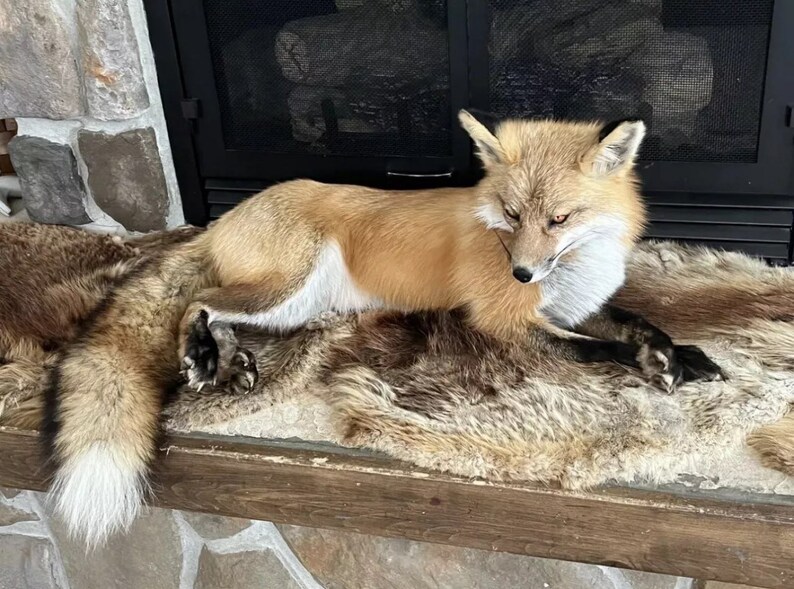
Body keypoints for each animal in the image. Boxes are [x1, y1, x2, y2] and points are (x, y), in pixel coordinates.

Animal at [47, 110, 722, 546]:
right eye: (510, 216)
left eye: (558, 219)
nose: (523, 272)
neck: (571, 270)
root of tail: (224, 218)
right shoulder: (506, 322)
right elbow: (601, 351)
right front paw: (655, 368)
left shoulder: (573, 307)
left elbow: (638, 324)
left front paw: (684, 356)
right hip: (286, 288)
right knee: (197, 302)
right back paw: (202, 357)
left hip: (291, 306)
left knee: (219, 310)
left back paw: (233, 362)